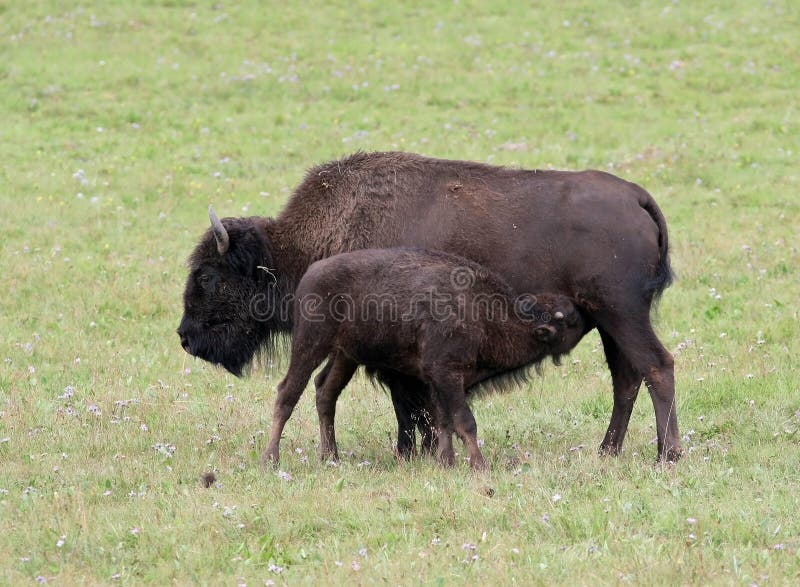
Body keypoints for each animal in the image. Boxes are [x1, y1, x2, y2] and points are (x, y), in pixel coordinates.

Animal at [178, 151, 680, 462]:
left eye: (207, 275)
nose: (185, 336)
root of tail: (635, 196)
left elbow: (409, 405)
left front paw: (411, 453)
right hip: (610, 323)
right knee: (626, 378)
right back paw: (608, 451)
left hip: (622, 314)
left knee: (657, 367)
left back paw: (667, 455)